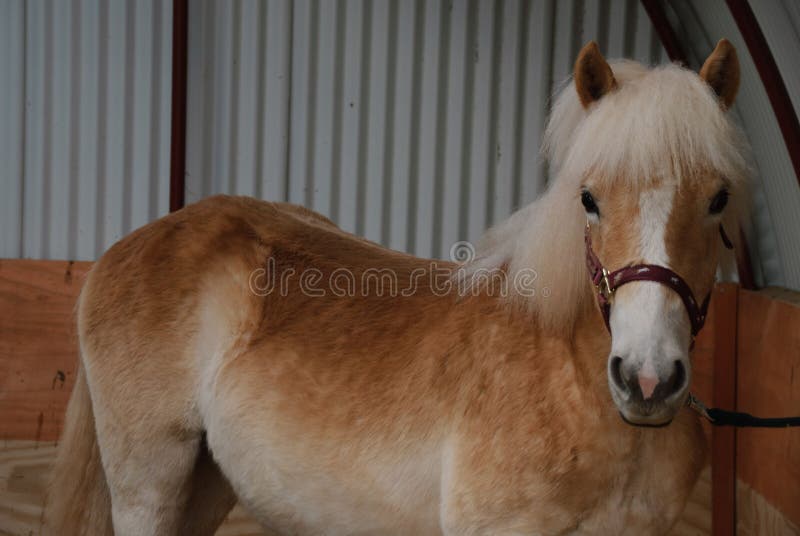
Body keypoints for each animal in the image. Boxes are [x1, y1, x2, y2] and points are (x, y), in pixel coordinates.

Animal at [45, 39, 748, 535]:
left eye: (718, 199)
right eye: (589, 199)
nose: (647, 379)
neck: (570, 382)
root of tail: (128, 248)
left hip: (207, 480)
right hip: (148, 482)